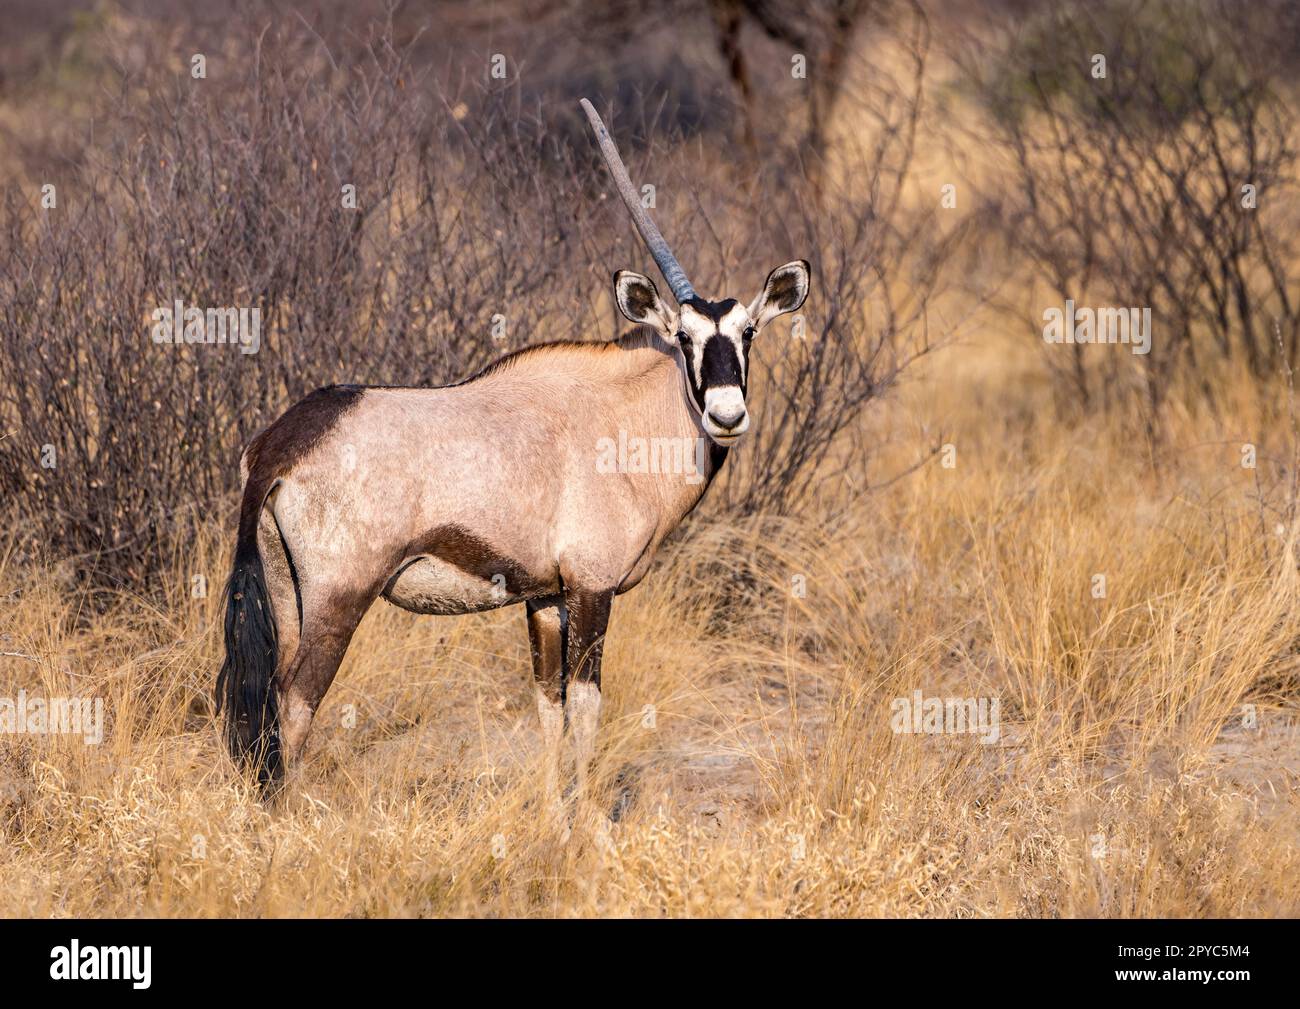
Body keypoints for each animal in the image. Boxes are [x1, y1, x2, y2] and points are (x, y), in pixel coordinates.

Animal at [216, 99, 810, 796]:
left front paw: (551, 809)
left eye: (748, 333)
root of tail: (280, 446)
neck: (620, 420)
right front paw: (585, 817)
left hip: (286, 593)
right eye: (685, 338)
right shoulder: (590, 588)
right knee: (295, 701)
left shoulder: (544, 597)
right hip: (340, 595)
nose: (726, 413)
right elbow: (585, 708)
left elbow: (548, 709)